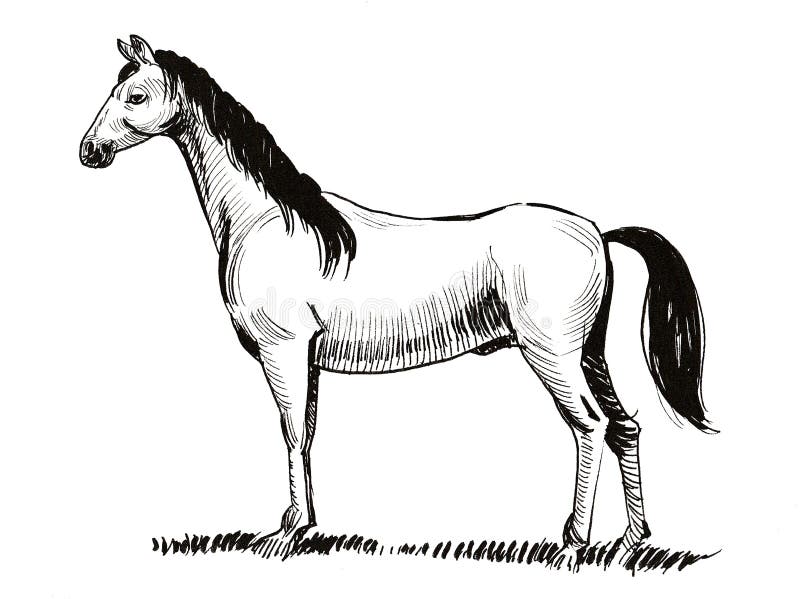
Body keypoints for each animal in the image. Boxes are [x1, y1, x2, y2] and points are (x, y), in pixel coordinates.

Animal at [80, 35, 714, 568]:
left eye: (135, 95)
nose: (90, 151)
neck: (268, 221)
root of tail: (598, 233)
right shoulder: (306, 360)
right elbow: (307, 433)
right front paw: (303, 526)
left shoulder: (282, 352)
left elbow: (290, 434)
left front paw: (285, 533)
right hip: (590, 352)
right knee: (624, 426)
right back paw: (631, 542)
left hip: (553, 354)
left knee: (588, 427)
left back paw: (572, 543)